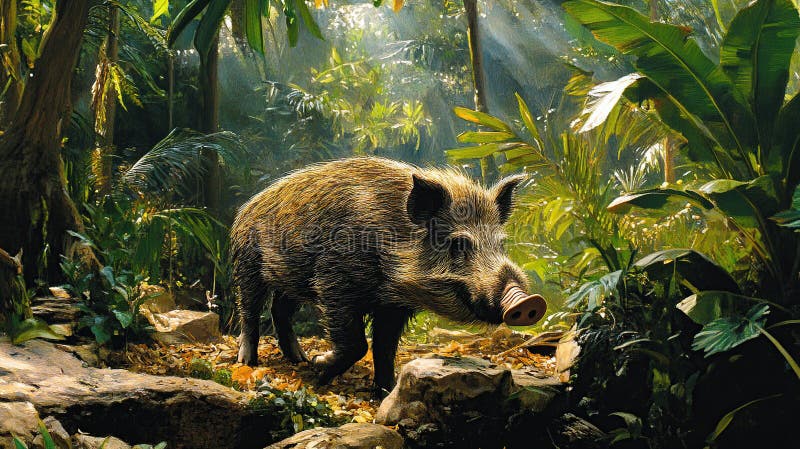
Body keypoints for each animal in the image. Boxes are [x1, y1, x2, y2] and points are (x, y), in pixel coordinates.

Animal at [231, 157, 545, 394]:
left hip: (289, 279)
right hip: (246, 262)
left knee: (279, 309)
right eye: (459, 244)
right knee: (249, 311)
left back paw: (298, 360)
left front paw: (385, 391)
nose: (528, 301)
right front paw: (320, 367)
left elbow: (384, 348)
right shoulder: (334, 283)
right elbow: (358, 343)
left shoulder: (393, 306)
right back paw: (249, 362)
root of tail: (247, 206)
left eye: (501, 243)